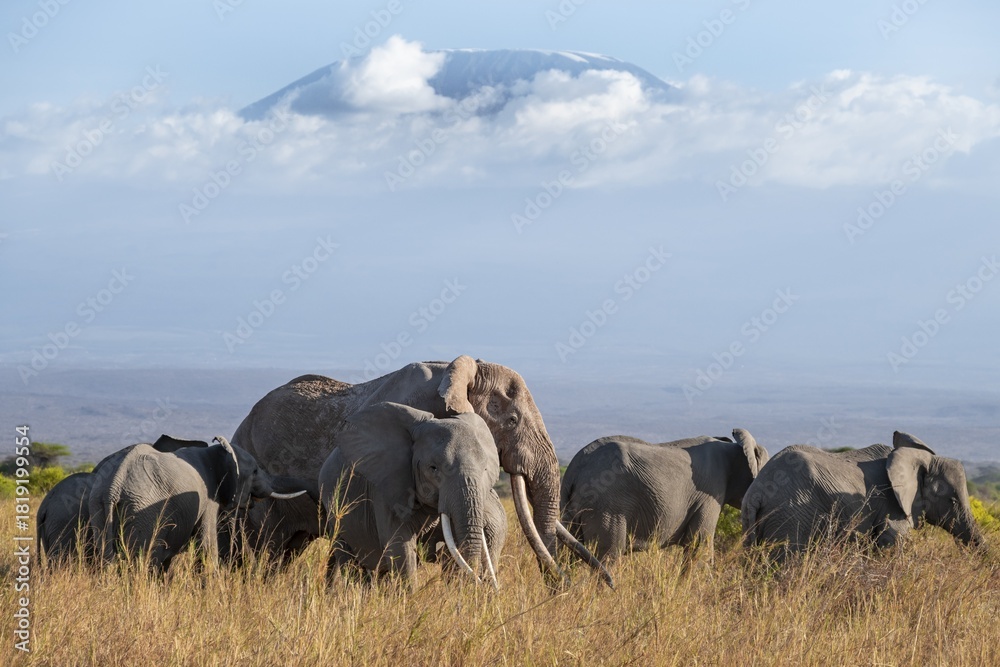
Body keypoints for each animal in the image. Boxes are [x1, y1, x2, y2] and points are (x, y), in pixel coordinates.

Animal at [88, 436, 309, 571]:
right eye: (255, 471)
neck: (217, 452)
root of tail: (114, 484)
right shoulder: (209, 498)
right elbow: (208, 544)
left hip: (98, 507)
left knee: (107, 557)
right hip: (143, 511)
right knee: (144, 558)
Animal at [319, 403, 506, 588]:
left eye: (485, 469)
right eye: (433, 468)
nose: (483, 583)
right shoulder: (387, 487)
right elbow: (401, 546)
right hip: (333, 507)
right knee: (348, 558)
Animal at [561, 429, 769, 561]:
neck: (733, 447)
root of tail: (574, 469)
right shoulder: (710, 494)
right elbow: (698, 545)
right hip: (607, 506)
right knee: (609, 553)